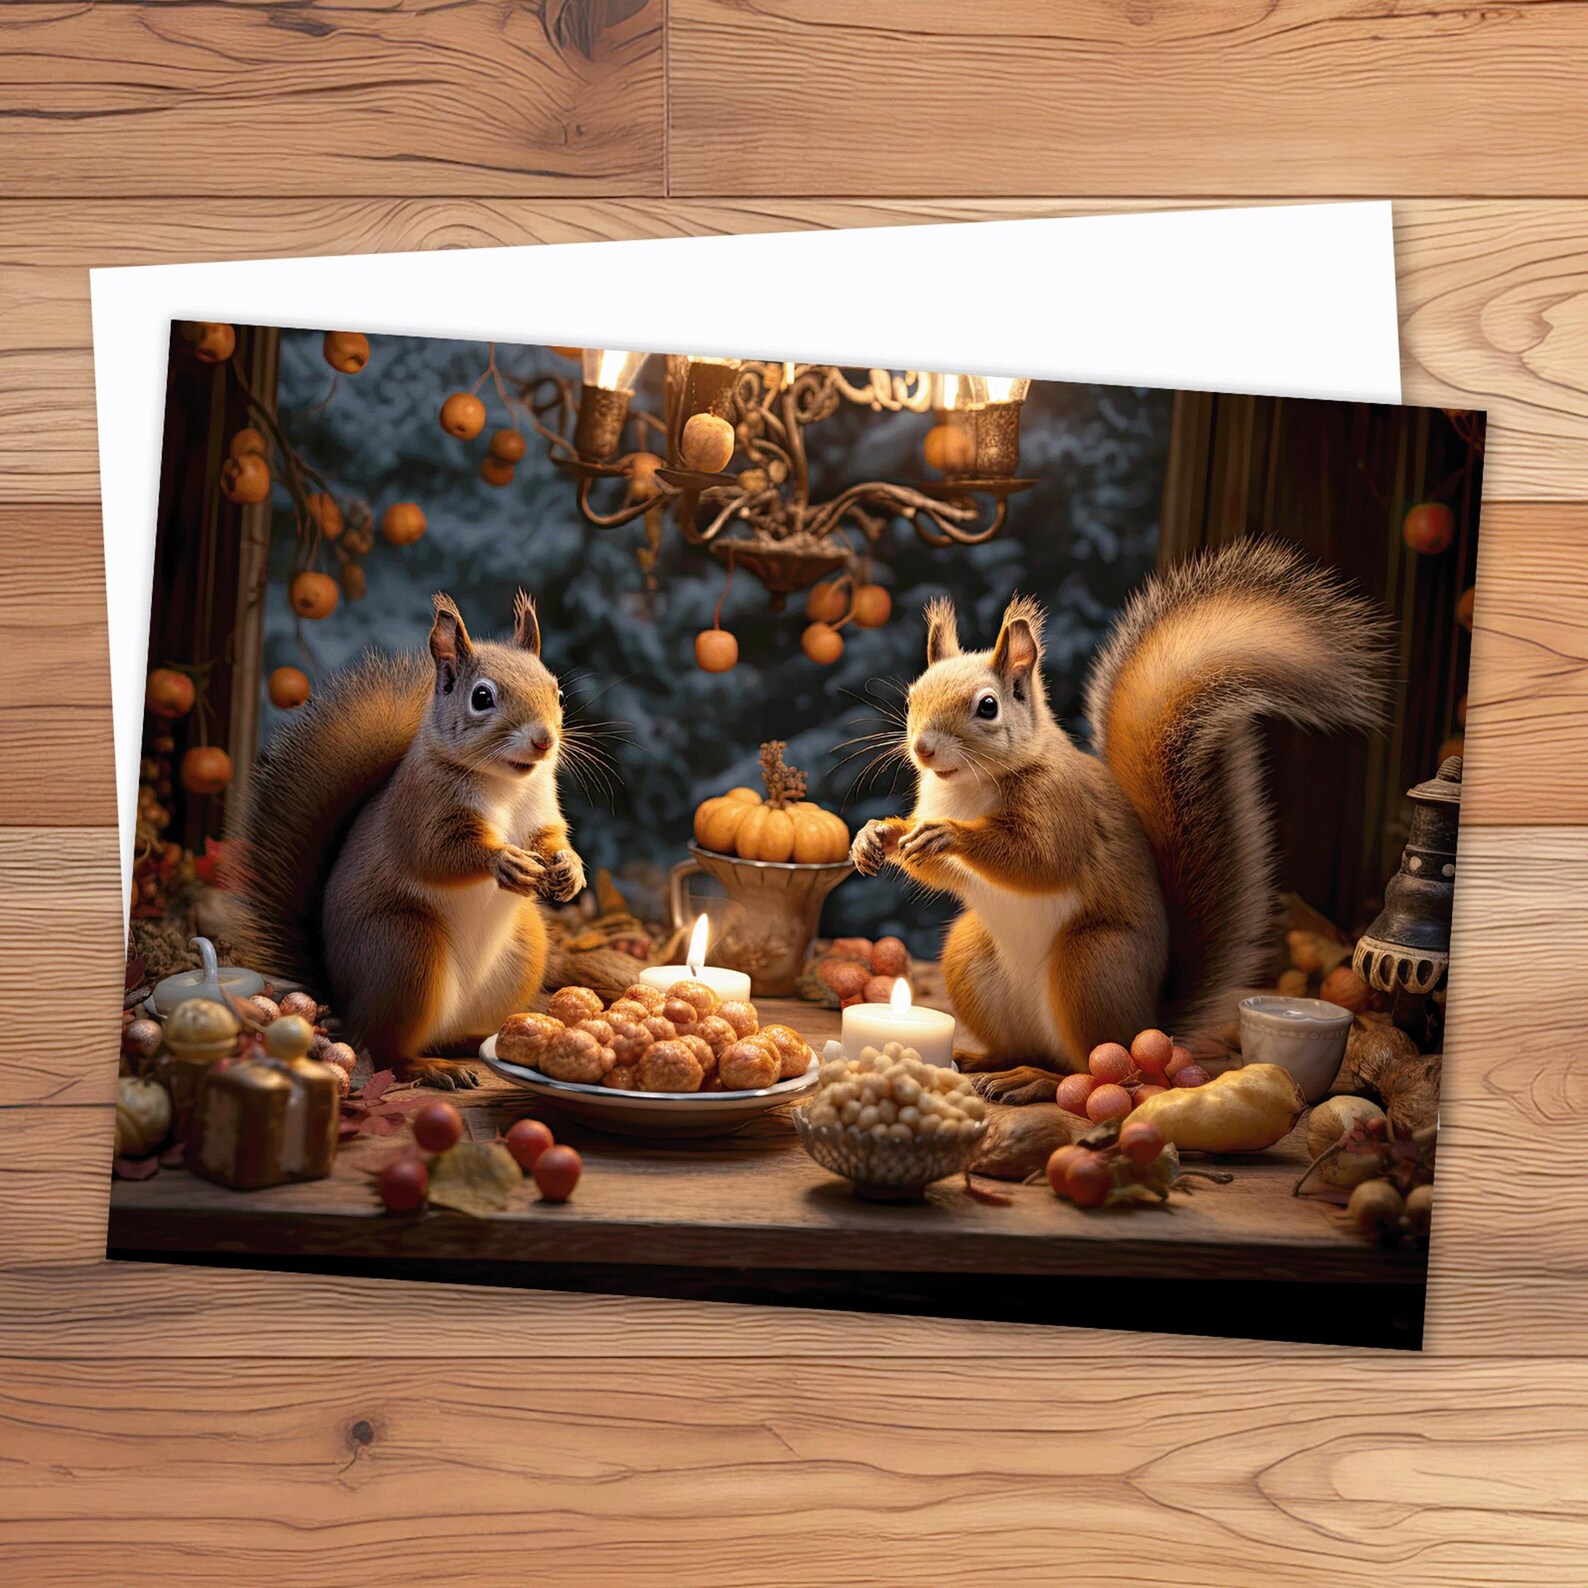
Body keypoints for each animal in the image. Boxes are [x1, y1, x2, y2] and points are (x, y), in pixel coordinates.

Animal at [227, 590, 585, 1089]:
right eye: (481, 697)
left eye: (558, 692)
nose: (544, 741)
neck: (507, 785)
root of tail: (345, 1001)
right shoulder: (420, 809)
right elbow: (437, 854)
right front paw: (502, 861)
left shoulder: (541, 813)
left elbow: (552, 838)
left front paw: (569, 869)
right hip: (405, 952)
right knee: (386, 1050)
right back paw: (428, 1067)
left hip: (524, 949)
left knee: (443, 1036)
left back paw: (476, 1040)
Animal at [850, 539, 1390, 1100]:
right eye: (913, 696)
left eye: (988, 706)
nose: (923, 748)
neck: (965, 786)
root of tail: (1149, 1020)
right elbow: (936, 869)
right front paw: (877, 836)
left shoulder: (1063, 806)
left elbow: (1040, 861)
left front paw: (949, 836)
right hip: (971, 957)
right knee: (1025, 1046)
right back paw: (984, 1060)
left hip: (1092, 965)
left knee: (1091, 1067)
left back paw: (1033, 1080)